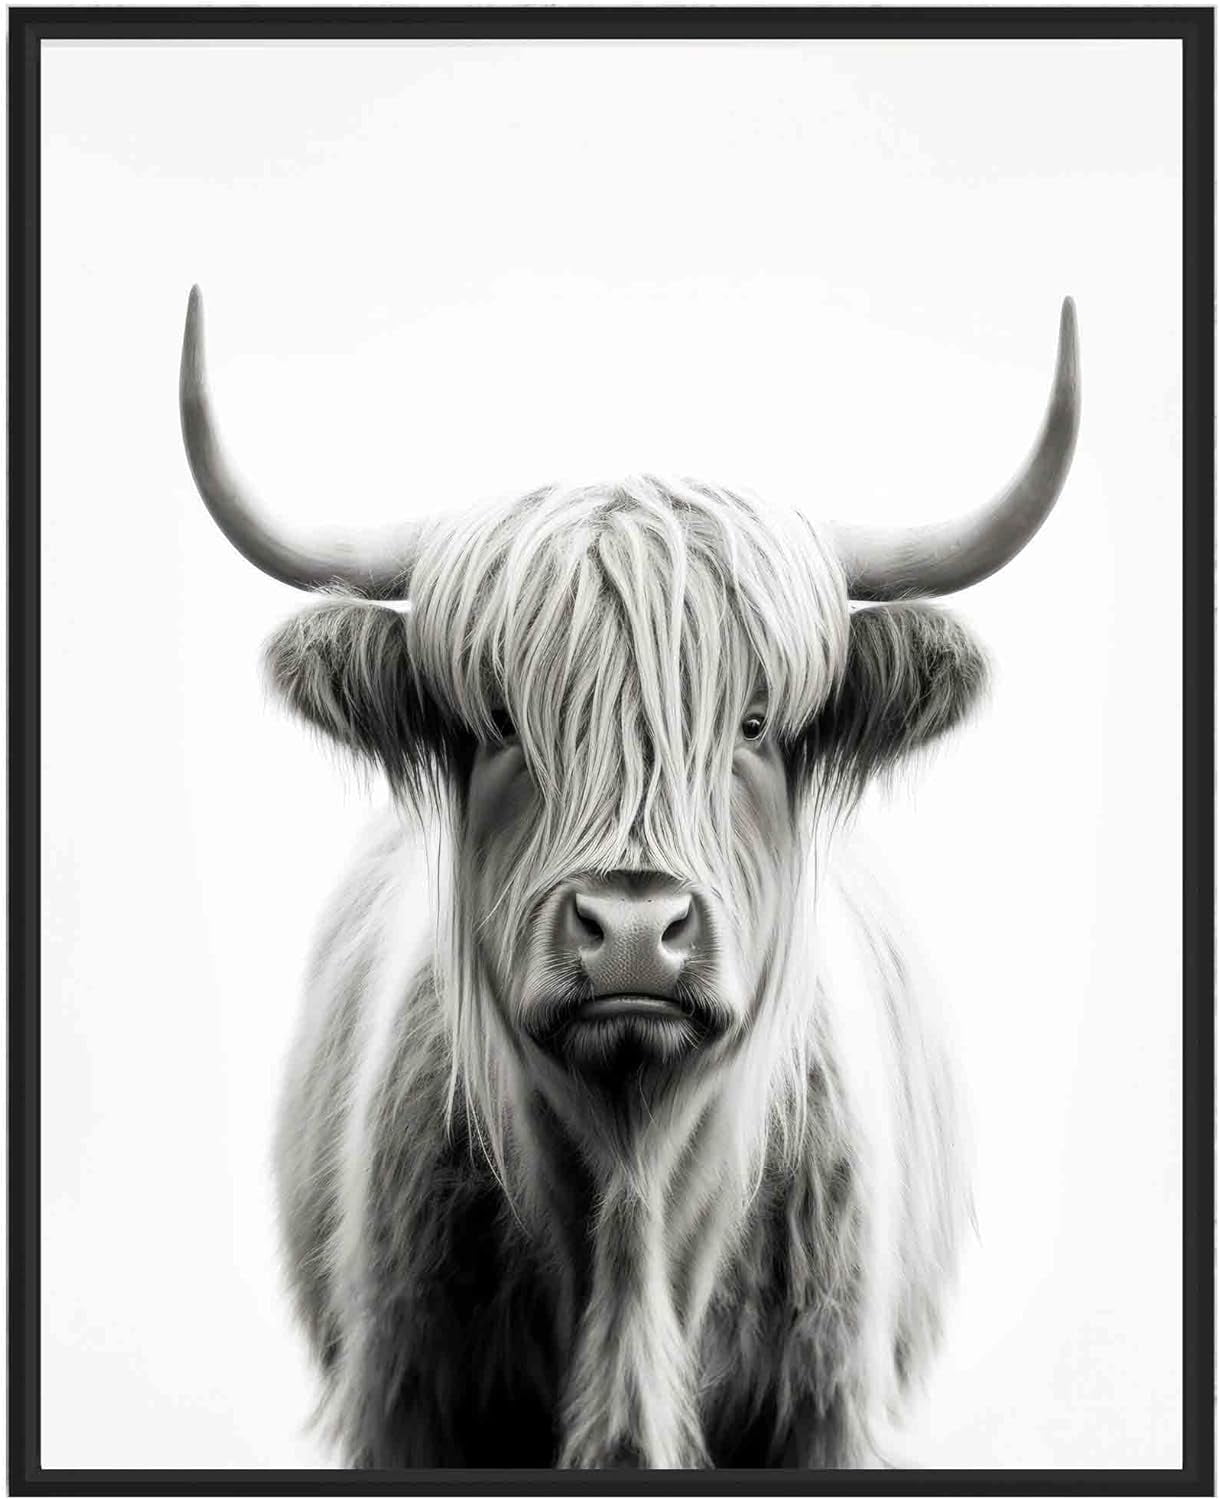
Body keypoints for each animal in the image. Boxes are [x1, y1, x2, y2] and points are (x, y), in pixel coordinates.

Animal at [179, 288, 1080, 1470]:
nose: (636, 929)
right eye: (501, 720)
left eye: (754, 723)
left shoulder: (823, 1411)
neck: (630, 1209)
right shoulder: (412, 1402)